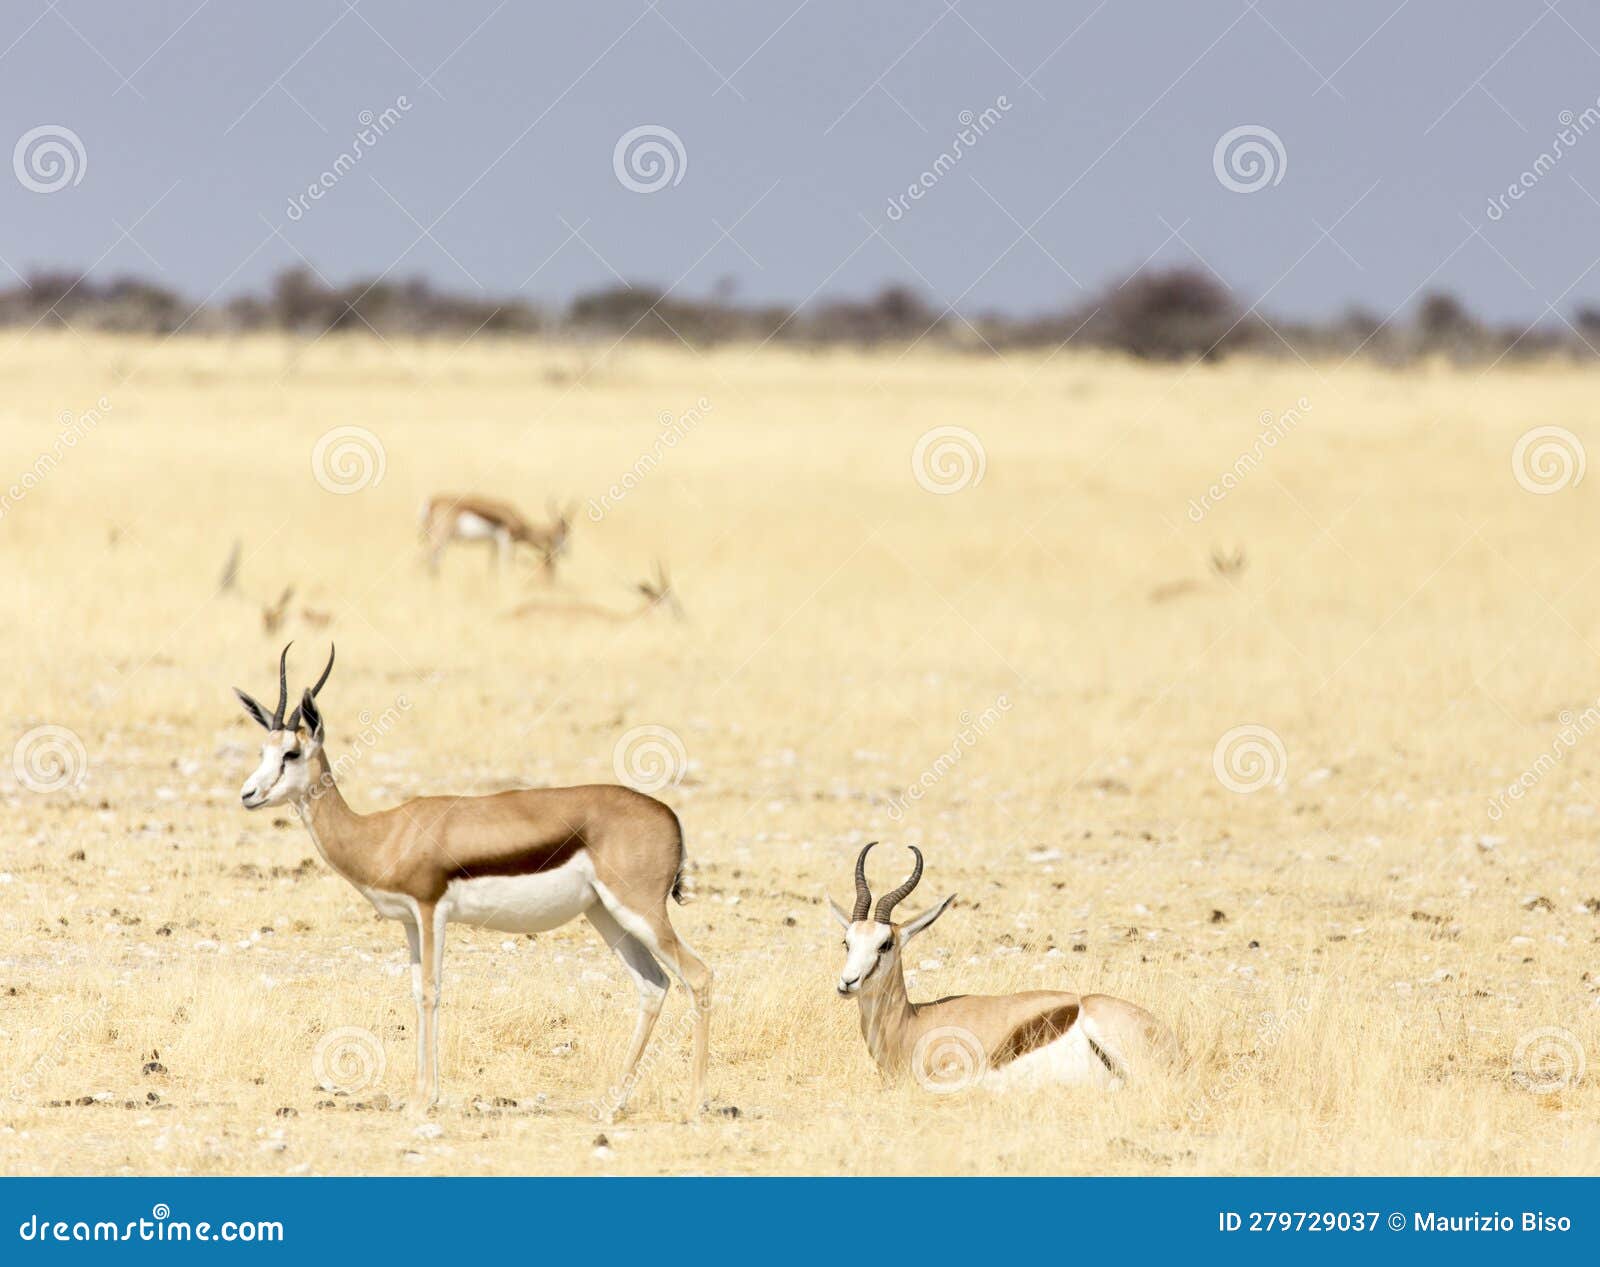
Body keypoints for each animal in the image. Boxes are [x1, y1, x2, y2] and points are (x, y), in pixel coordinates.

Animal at [233, 644, 712, 1114]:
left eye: (291, 754)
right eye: (262, 752)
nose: (248, 795)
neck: (381, 834)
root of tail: (668, 815)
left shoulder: (431, 910)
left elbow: (431, 991)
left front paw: (424, 1100)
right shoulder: (410, 921)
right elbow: (415, 992)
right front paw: (418, 1094)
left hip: (639, 910)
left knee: (699, 975)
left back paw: (692, 1104)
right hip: (606, 914)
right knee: (653, 985)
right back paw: (611, 1104)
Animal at [420, 494, 573, 578]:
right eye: (562, 535)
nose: (566, 552)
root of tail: (431, 503)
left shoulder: (493, 543)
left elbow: (493, 567)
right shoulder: (505, 540)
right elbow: (507, 564)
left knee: (433, 560)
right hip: (441, 536)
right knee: (427, 558)